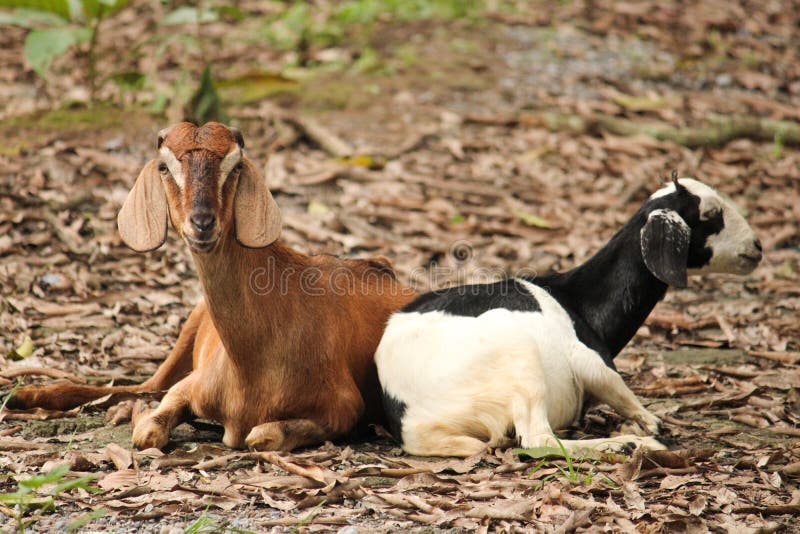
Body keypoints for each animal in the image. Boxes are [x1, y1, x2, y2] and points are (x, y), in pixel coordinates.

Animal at [9, 122, 415, 451]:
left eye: (234, 166)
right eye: (164, 167)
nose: (202, 222)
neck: (252, 362)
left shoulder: (343, 408)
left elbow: (261, 436)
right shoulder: (190, 386)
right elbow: (149, 431)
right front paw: (140, 416)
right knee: (143, 384)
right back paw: (25, 396)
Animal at [376, 175, 762, 457]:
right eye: (712, 216)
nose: (757, 247)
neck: (577, 300)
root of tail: (412, 421)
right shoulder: (587, 359)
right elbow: (622, 392)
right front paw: (646, 429)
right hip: (520, 358)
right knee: (537, 440)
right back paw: (628, 444)